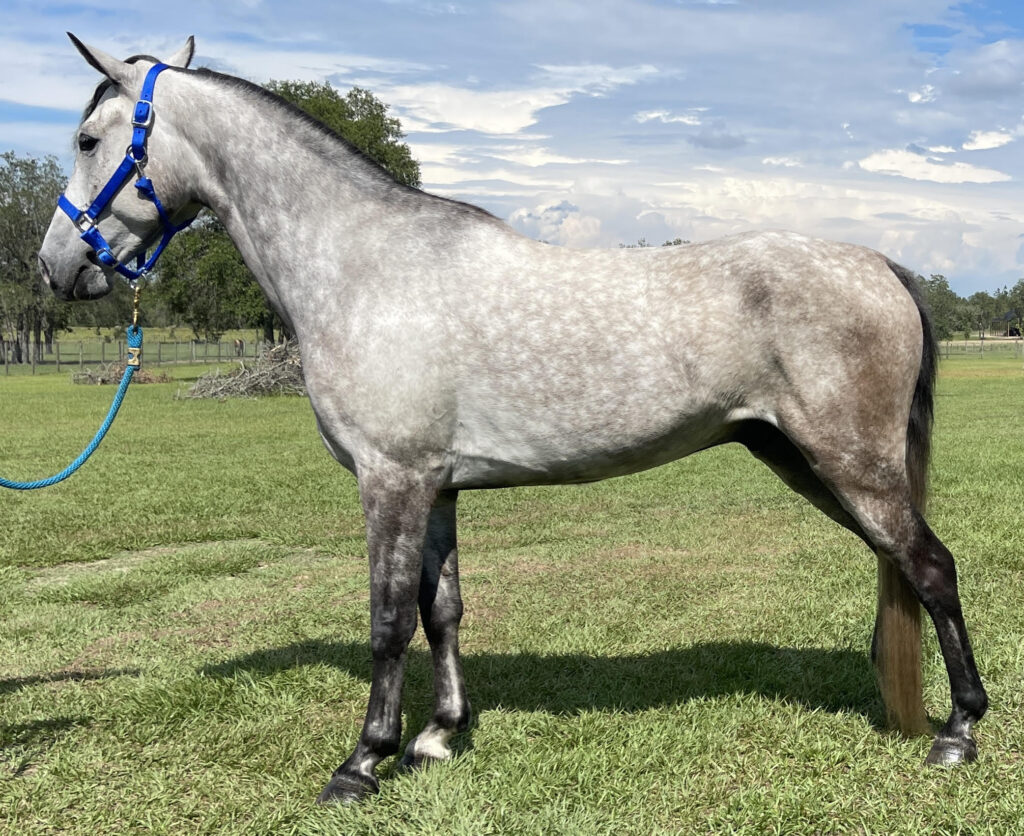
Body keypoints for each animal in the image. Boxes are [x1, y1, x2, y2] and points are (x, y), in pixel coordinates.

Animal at [37, 36, 987, 804]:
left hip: (849, 463)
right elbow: (442, 609)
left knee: (931, 568)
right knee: (902, 567)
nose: (57, 267)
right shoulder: (437, 486)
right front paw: (437, 736)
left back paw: (959, 732)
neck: (363, 266)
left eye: (88, 141)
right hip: (802, 460)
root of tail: (879, 264)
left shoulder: (391, 480)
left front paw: (362, 762)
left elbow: (388, 619)